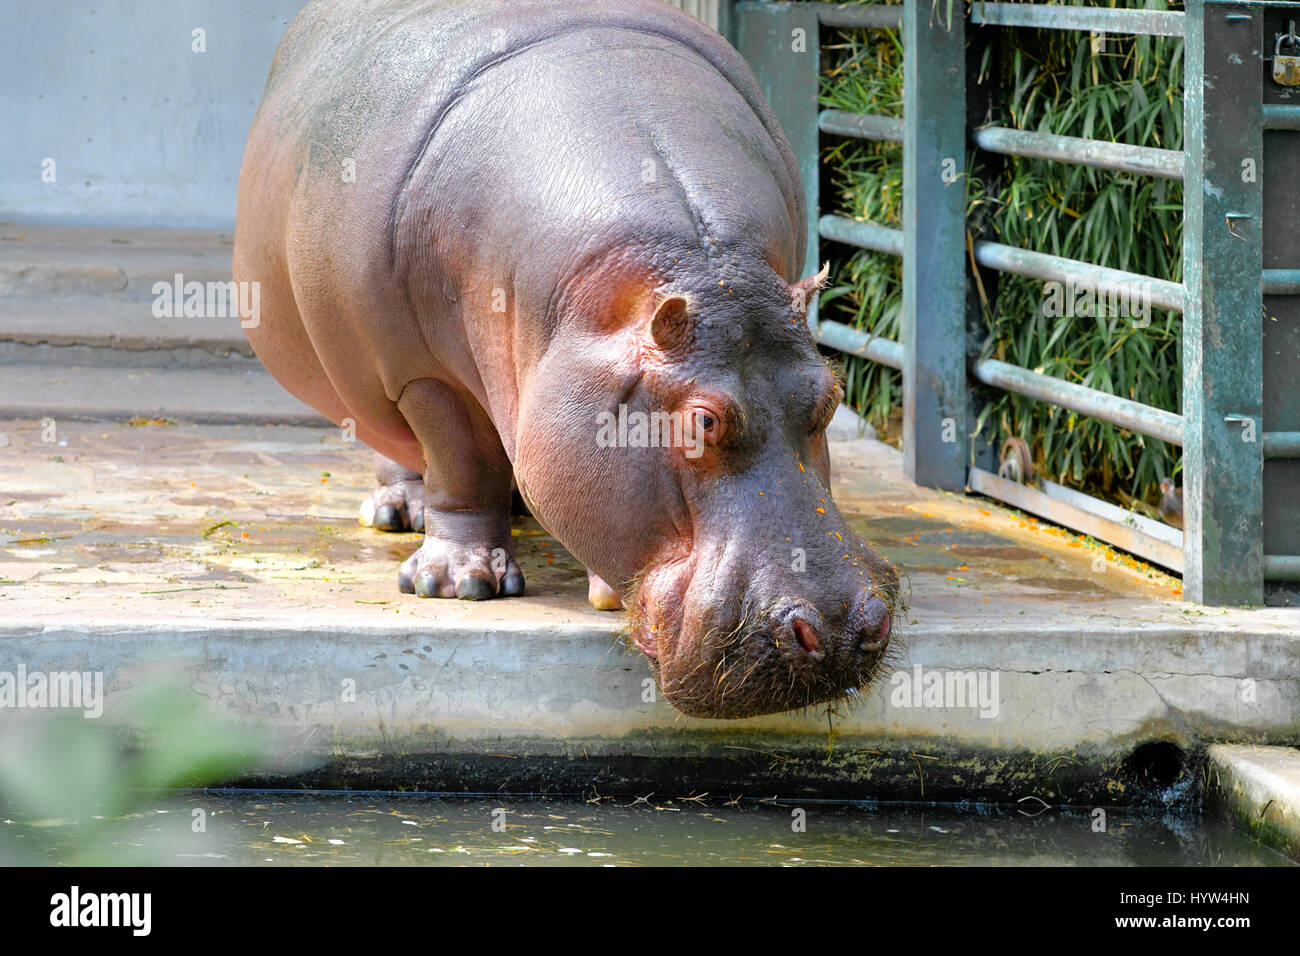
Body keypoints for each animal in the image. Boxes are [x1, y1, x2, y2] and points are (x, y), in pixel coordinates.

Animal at [234, 0, 900, 718]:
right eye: (702, 421)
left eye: (830, 397)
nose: (837, 630)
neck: (697, 265)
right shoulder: (421, 376)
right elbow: (459, 463)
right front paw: (458, 584)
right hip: (367, 371)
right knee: (397, 442)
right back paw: (398, 514)